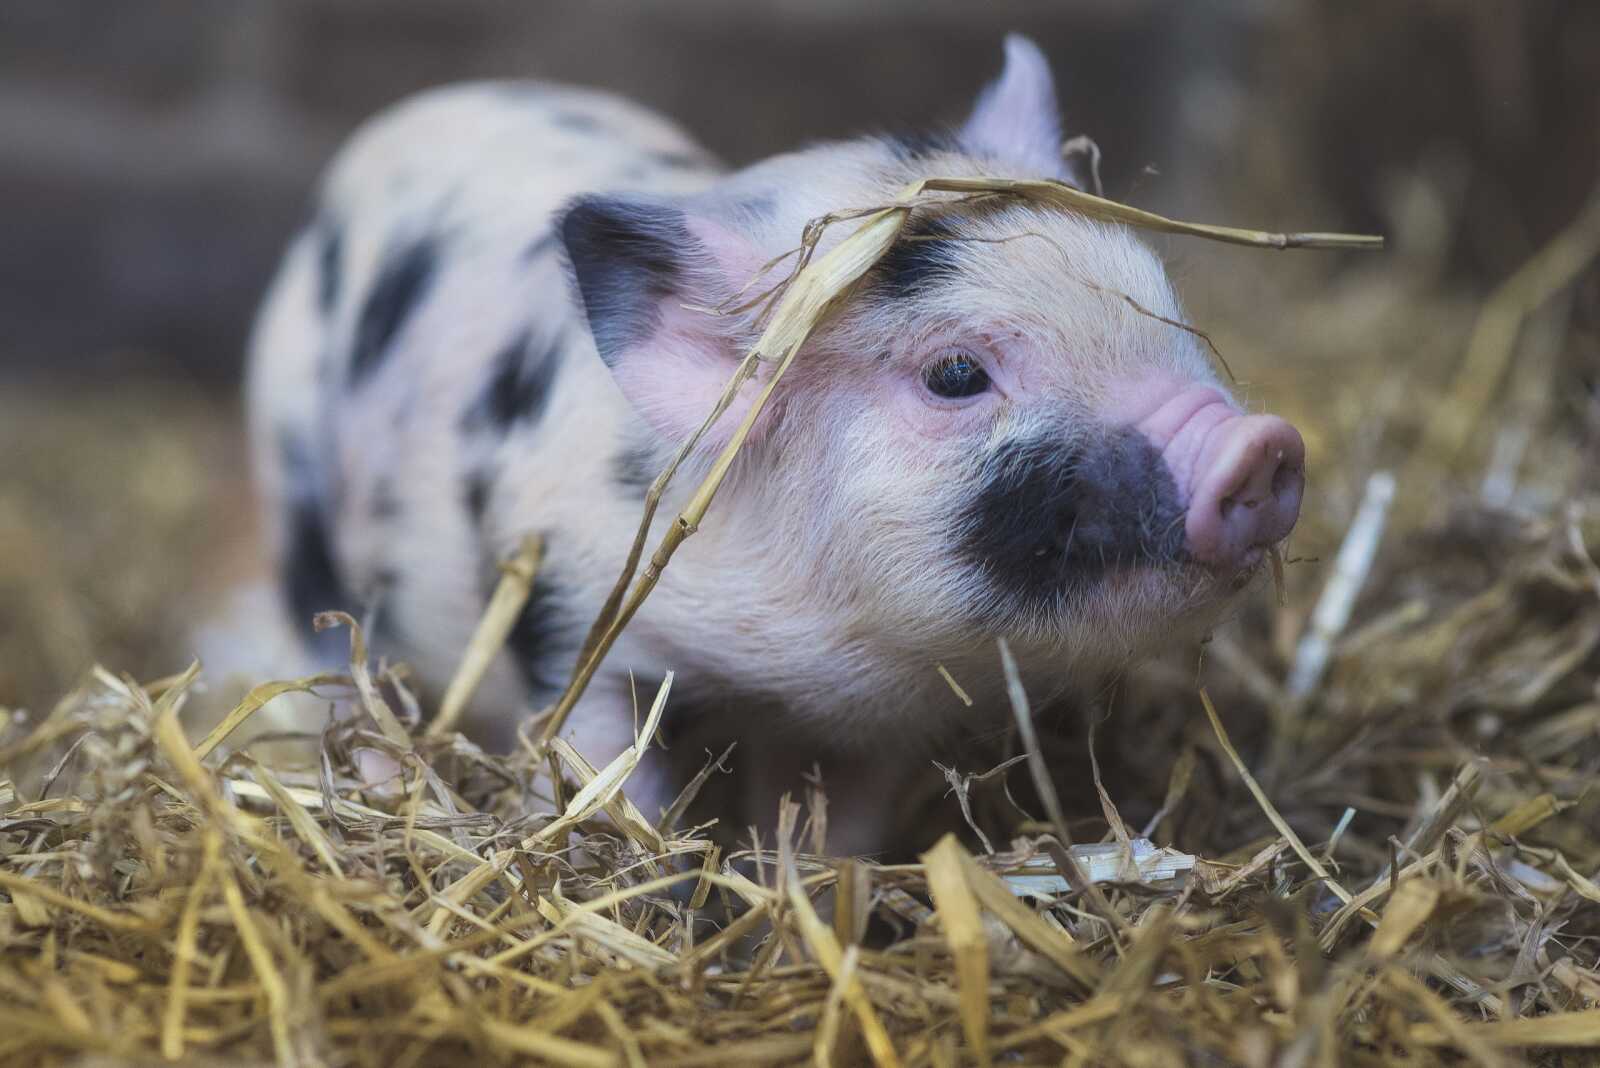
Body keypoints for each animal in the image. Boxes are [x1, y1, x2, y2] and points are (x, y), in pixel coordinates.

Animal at [243, 35, 1304, 854]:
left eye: (1166, 303)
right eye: (956, 373)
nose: (1259, 446)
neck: (782, 656)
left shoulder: (874, 722)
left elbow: (832, 838)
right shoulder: (572, 620)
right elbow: (604, 778)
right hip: (292, 477)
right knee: (332, 647)